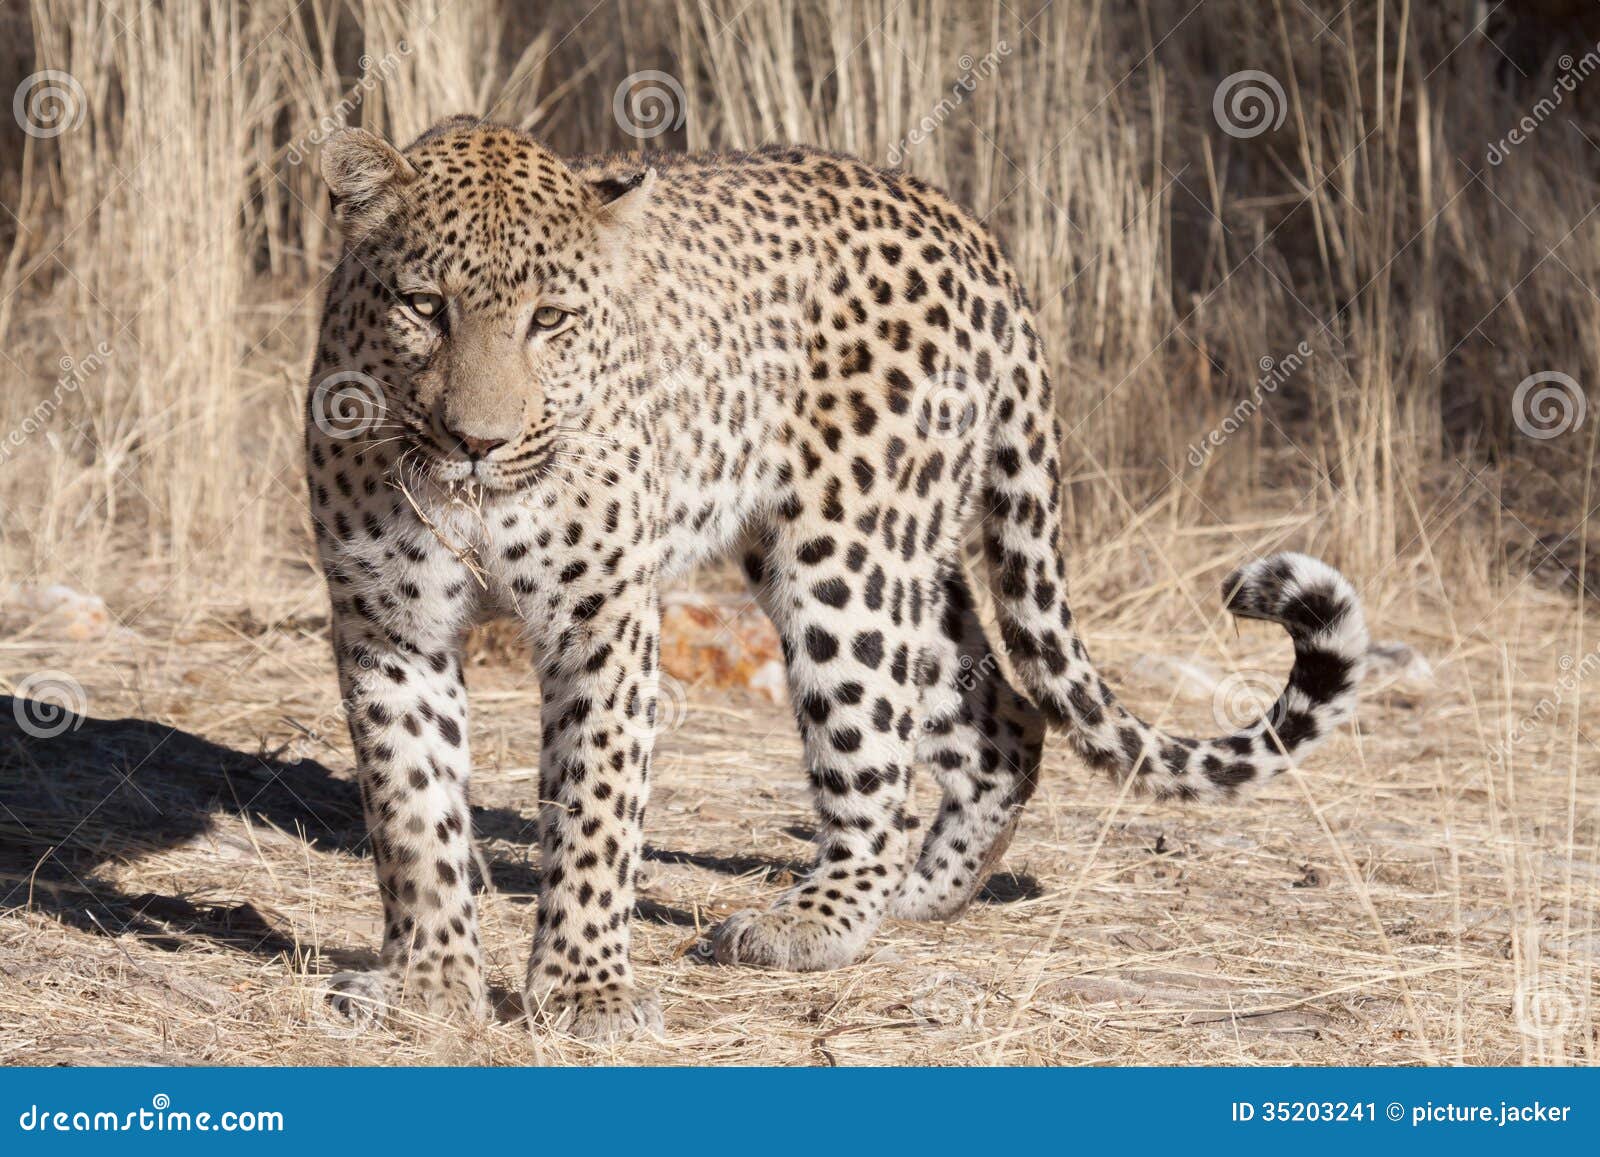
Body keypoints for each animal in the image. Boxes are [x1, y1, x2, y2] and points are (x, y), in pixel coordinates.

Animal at [304, 116, 1370, 1042]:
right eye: (424, 307)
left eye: (549, 318)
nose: (475, 442)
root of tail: (967, 224)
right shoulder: (389, 627)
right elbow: (412, 808)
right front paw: (428, 982)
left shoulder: (599, 622)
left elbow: (597, 807)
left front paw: (585, 989)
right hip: (893, 557)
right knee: (1005, 717)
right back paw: (922, 896)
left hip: (844, 559)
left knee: (877, 765)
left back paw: (810, 920)